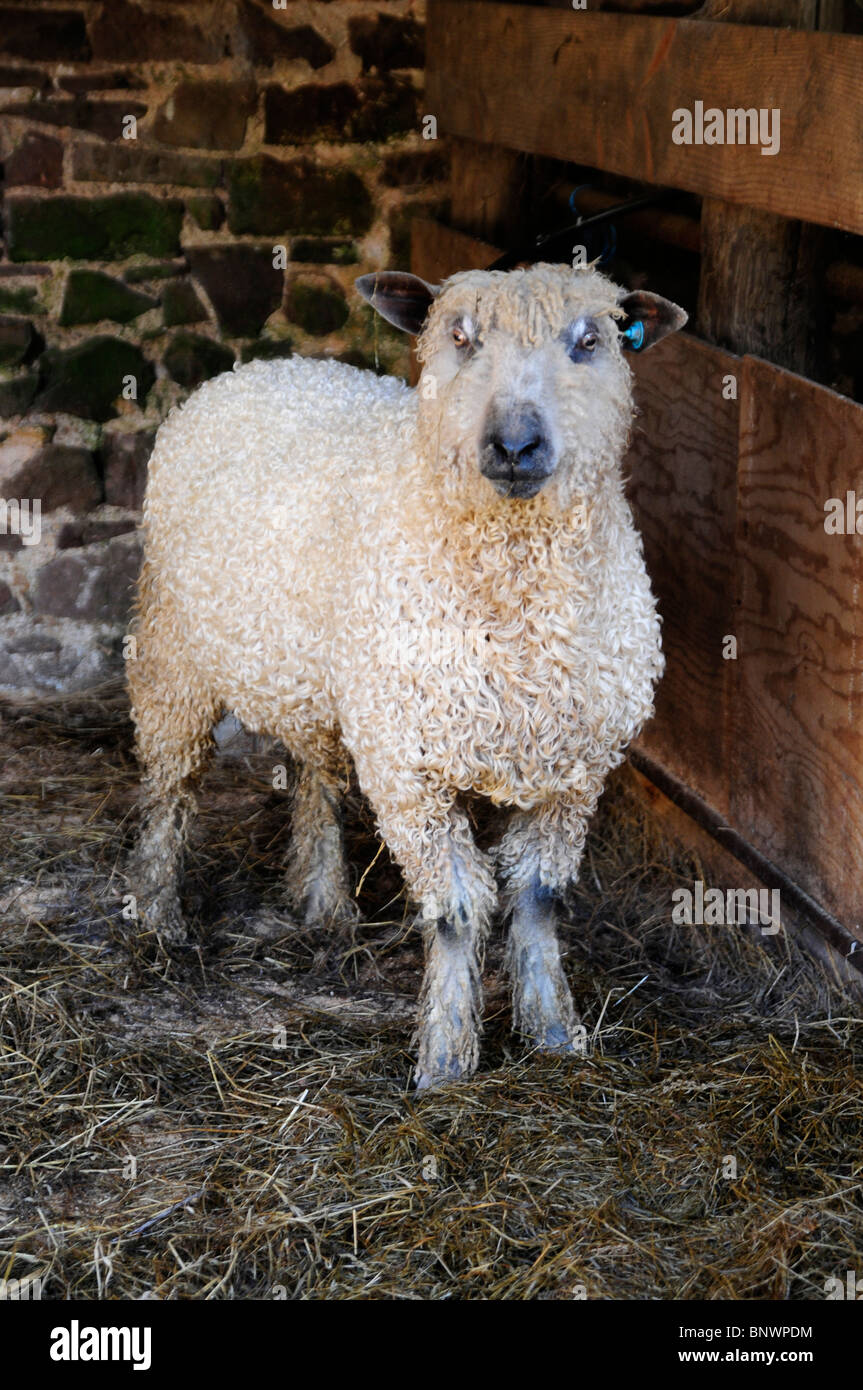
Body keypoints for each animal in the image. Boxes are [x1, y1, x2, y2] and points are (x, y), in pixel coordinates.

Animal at [128, 262, 687, 1089]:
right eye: (458, 336)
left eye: (589, 342)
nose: (514, 443)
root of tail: (266, 367)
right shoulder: (409, 766)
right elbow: (455, 910)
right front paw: (447, 1057)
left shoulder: (573, 769)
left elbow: (538, 897)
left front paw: (553, 1029)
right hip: (175, 651)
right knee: (172, 785)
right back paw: (160, 914)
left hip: (319, 681)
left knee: (315, 771)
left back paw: (324, 900)